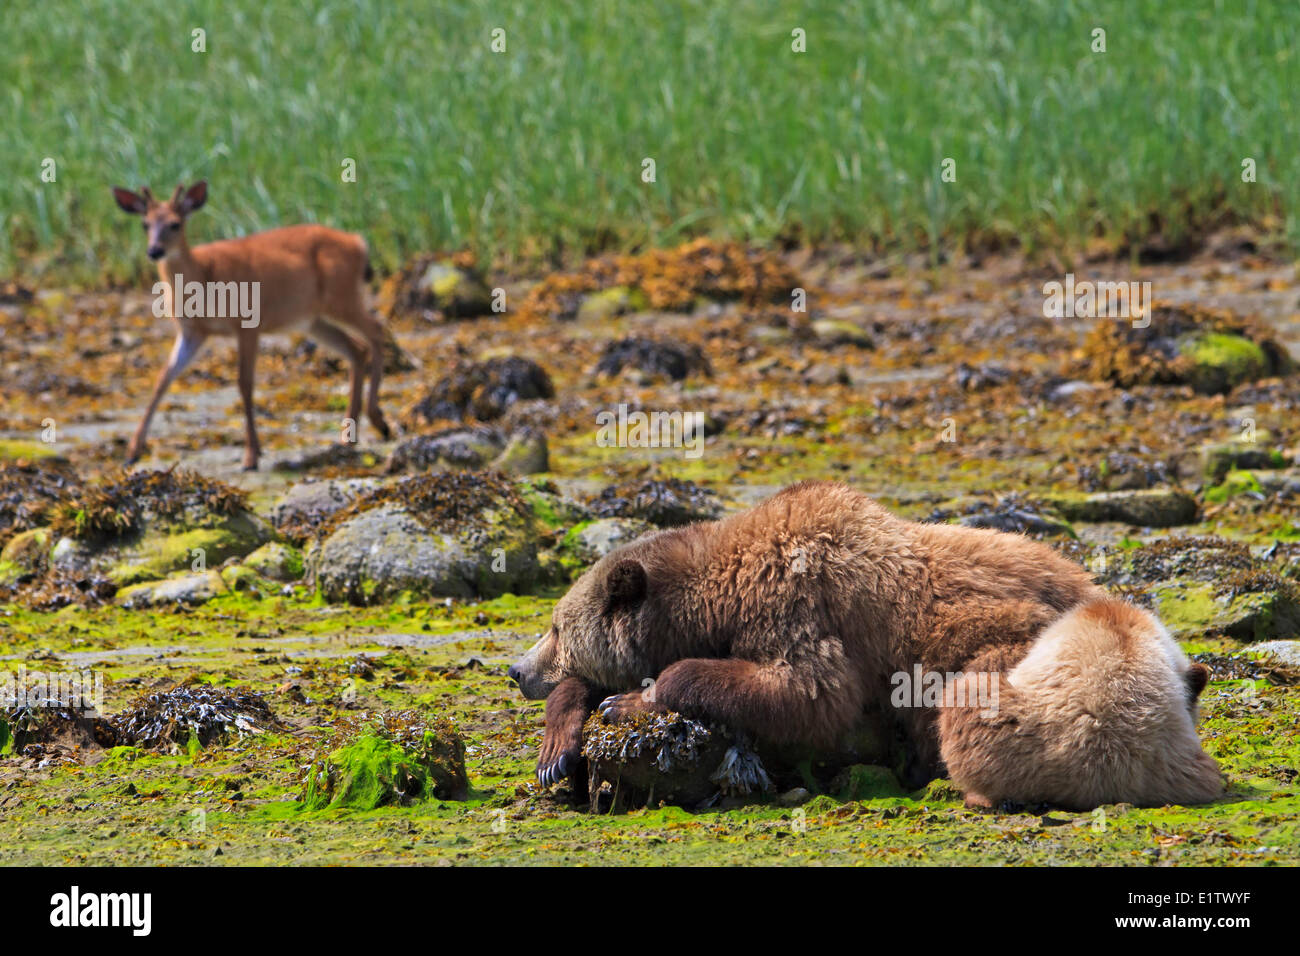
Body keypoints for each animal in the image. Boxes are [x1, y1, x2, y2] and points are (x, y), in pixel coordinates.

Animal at [111, 181, 392, 470]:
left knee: (377, 330)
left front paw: (251, 455)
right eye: (145, 224)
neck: (204, 275)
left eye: (175, 224)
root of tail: (359, 242)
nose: (154, 251)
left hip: (342, 296)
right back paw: (350, 435)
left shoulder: (246, 324)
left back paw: (378, 421)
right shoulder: (193, 332)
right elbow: (162, 378)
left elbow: (244, 383)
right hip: (313, 320)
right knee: (357, 348)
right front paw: (132, 451)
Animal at [509, 480, 1105, 788]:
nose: (516, 670)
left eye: (555, 628)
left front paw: (630, 700)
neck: (714, 601)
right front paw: (555, 750)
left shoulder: (792, 602)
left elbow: (809, 689)